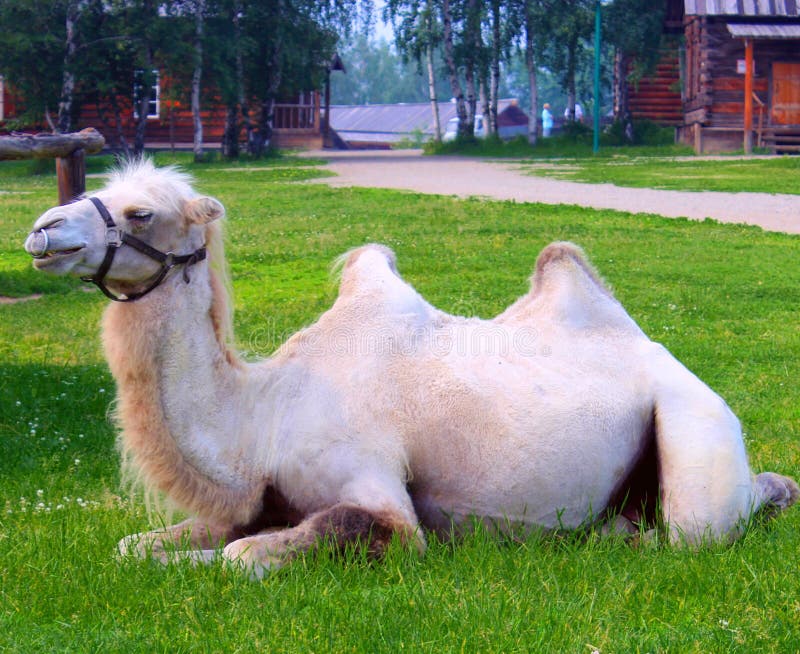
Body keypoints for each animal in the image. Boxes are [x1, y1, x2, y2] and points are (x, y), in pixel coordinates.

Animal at [24, 159, 797, 576]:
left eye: (141, 213)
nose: (42, 230)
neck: (262, 411)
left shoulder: (382, 502)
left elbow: (255, 555)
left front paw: (220, 561)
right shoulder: (259, 498)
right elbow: (134, 547)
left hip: (695, 432)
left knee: (701, 527)